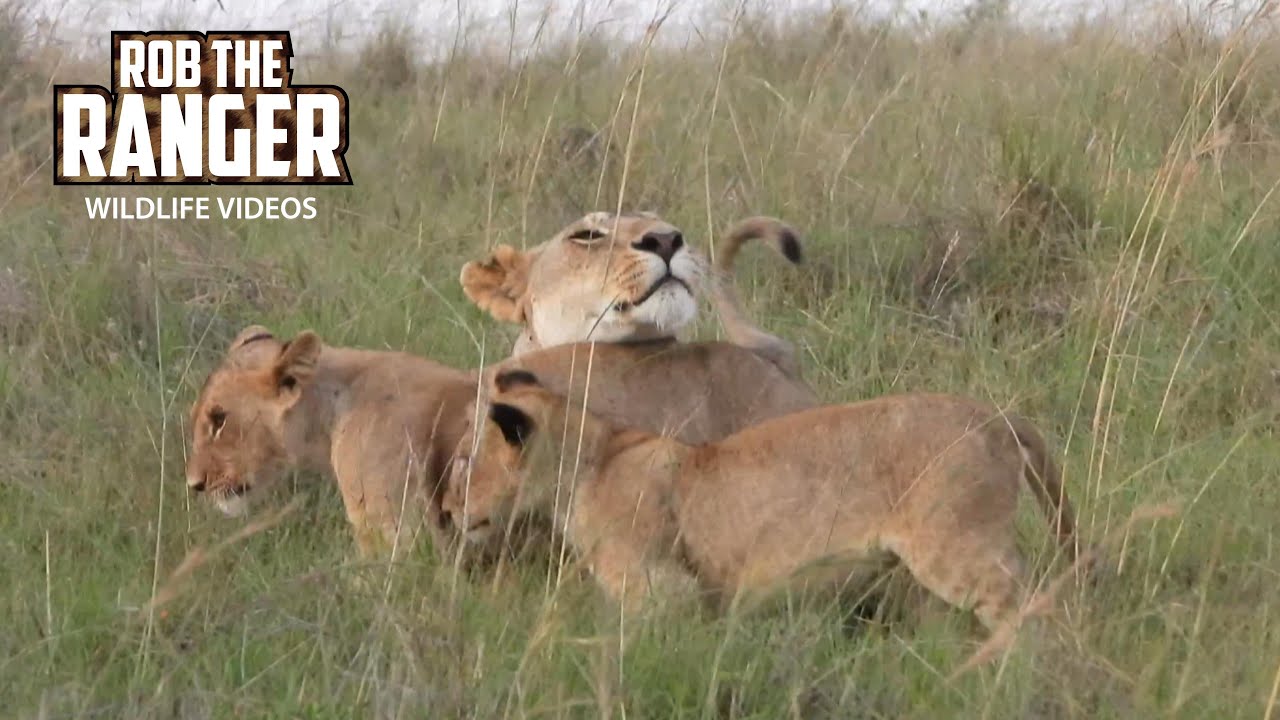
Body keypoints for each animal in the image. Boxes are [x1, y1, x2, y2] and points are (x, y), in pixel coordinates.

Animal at [442, 369, 1079, 634]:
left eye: (466, 461)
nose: (447, 512)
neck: (593, 457)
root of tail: (994, 415)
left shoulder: (663, 590)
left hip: (956, 548)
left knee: (1031, 604)